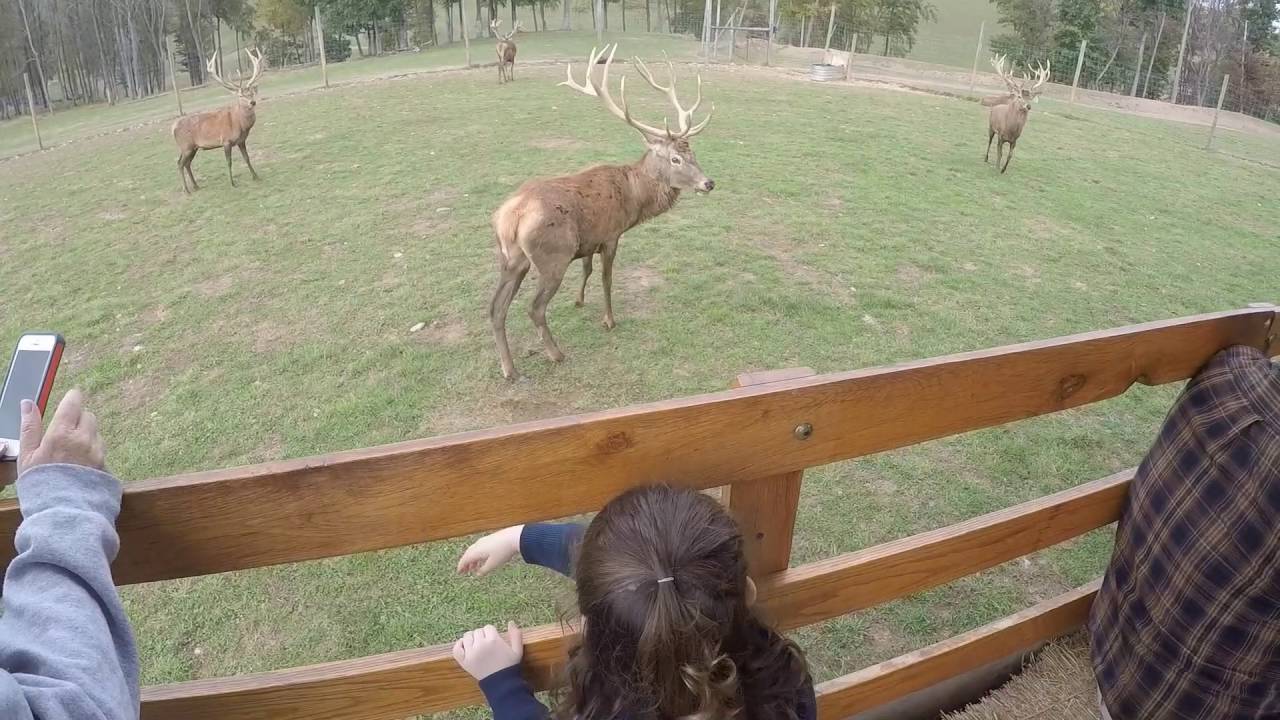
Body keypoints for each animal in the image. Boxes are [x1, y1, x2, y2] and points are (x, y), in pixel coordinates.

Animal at [171, 48, 265, 194]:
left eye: (251, 93)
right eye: (240, 96)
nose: (252, 102)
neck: (240, 125)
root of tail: (173, 128)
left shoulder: (241, 141)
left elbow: (247, 158)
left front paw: (255, 176)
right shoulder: (226, 140)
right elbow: (229, 162)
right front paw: (232, 183)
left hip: (193, 148)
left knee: (187, 163)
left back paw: (196, 186)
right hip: (185, 146)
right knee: (179, 163)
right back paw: (186, 190)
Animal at [488, 45, 715, 380]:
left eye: (694, 154)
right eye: (675, 158)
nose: (708, 182)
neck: (634, 198)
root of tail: (509, 218)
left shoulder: (589, 243)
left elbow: (587, 271)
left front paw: (580, 300)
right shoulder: (610, 235)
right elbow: (607, 279)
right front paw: (609, 320)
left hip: (512, 259)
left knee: (495, 308)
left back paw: (509, 369)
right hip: (552, 256)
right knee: (534, 307)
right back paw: (556, 354)